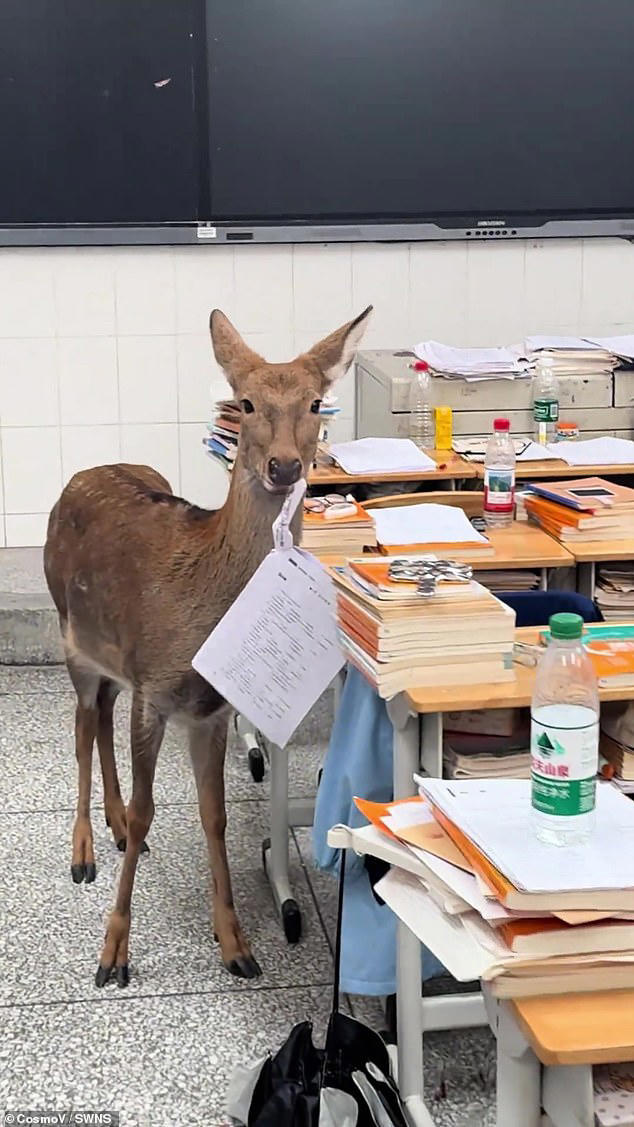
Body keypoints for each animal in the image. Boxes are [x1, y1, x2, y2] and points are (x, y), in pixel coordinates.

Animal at [43, 304, 372, 988]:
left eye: (316, 402)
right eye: (245, 402)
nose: (284, 466)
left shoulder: (209, 707)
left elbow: (214, 814)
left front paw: (236, 943)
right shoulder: (156, 686)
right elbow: (152, 808)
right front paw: (113, 955)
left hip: (114, 661)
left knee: (102, 717)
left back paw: (113, 828)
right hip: (71, 637)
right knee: (83, 727)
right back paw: (84, 851)